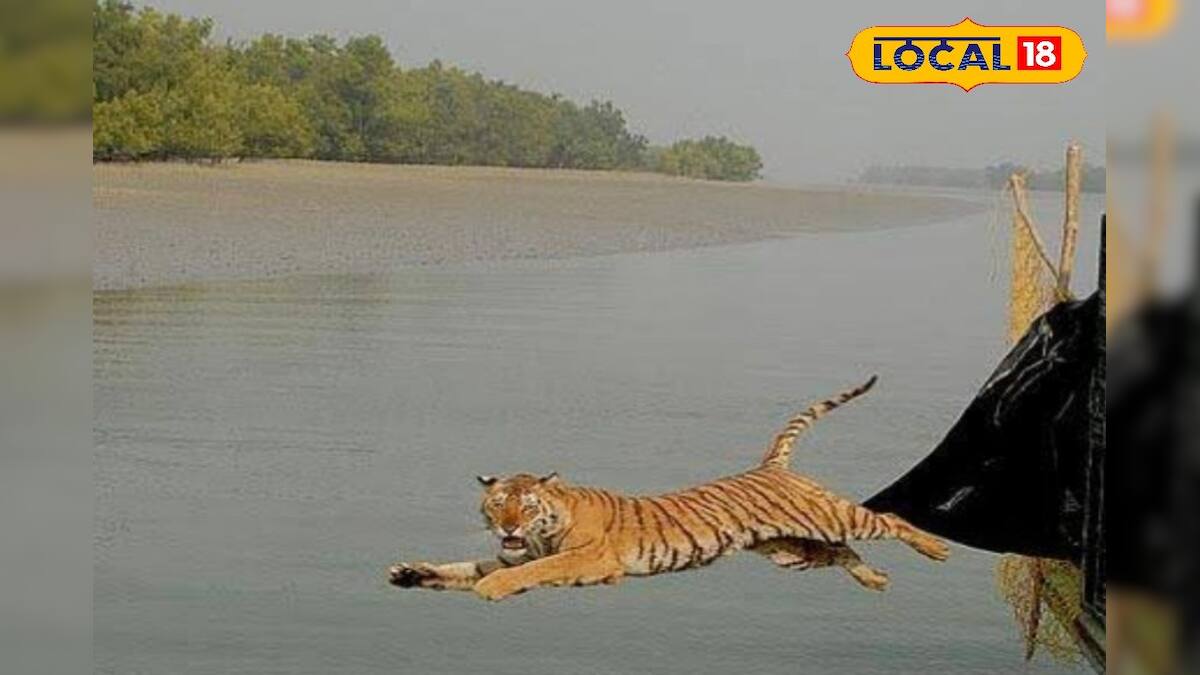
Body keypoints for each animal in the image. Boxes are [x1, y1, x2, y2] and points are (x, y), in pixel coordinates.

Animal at [388, 376, 949, 601]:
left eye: (525, 508)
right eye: (497, 505)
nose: (507, 527)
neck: (546, 529)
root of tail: (771, 464)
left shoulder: (588, 559)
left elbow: (525, 572)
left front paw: (491, 589)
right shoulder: (515, 553)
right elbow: (462, 568)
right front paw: (410, 573)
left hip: (829, 516)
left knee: (888, 520)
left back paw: (937, 549)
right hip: (791, 550)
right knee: (841, 552)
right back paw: (875, 580)